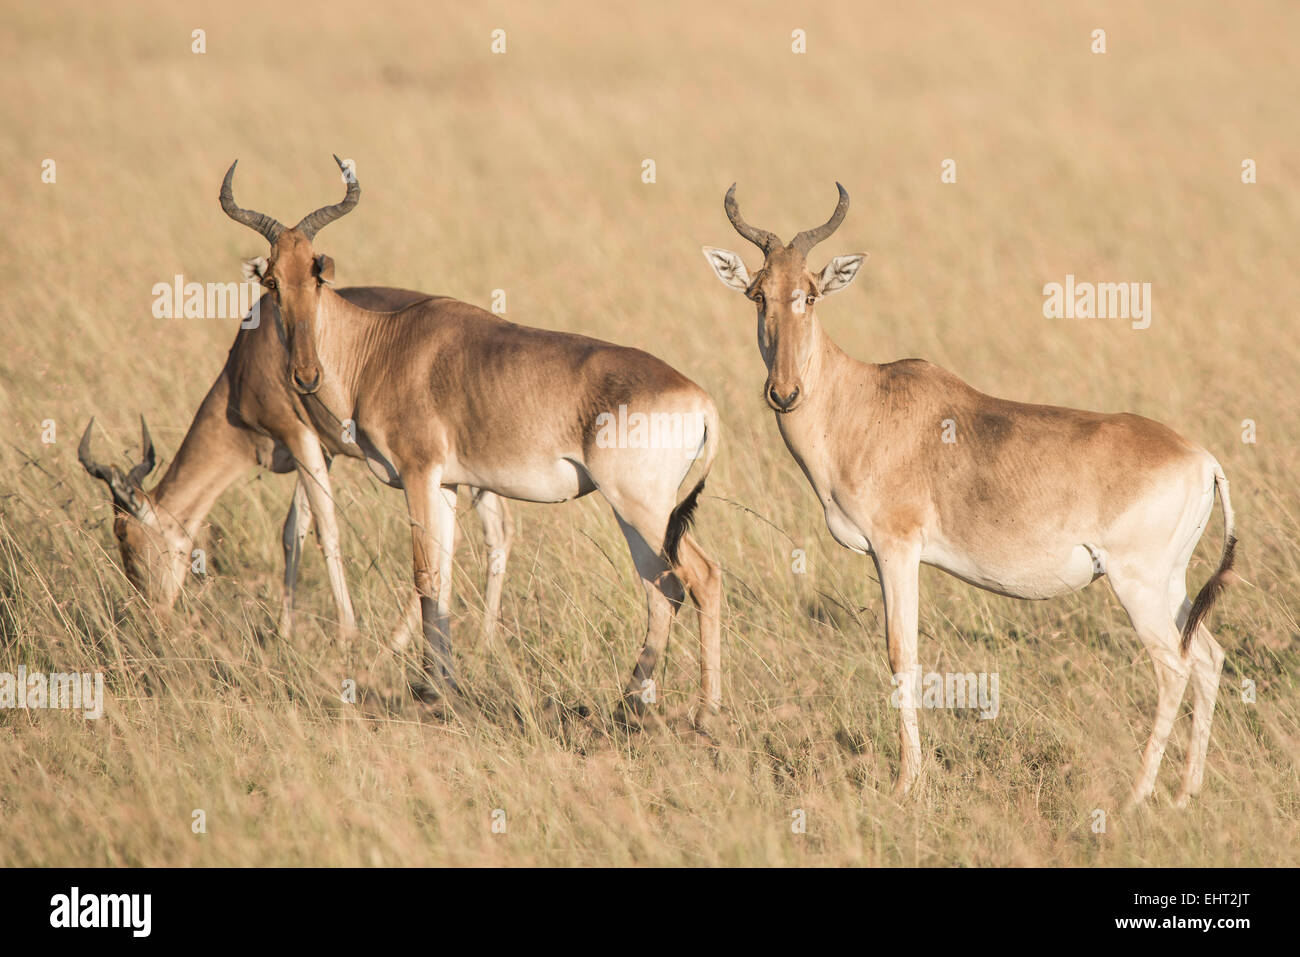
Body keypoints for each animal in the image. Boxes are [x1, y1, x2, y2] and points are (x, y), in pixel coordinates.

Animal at [81, 279, 514, 653]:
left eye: (125, 537)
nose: (150, 619)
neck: (250, 352)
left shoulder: (299, 435)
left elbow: (326, 529)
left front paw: (344, 636)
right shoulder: (321, 449)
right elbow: (294, 532)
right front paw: (283, 633)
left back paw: (397, 644)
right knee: (495, 532)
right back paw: (485, 644)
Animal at [215, 156, 723, 723]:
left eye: (316, 275)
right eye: (273, 280)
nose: (304, 376)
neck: (382, 345)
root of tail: (700, 398)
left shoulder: (419, 472)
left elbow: (424, 575)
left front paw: (431, 690)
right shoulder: (447, 484)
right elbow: (443, 574)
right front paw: (444, 685)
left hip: (642, 506)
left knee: (699, 578)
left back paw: (704, 713)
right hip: (640, 512)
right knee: (662, 589)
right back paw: (628, 703)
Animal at [703, 184, 1236, 807]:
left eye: (809, 294)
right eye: (757, 294)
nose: (784, 393)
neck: (863, 399)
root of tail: (1202, 460)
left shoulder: (897, 549)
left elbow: (901, 653)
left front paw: (906, 782)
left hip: (1138, 582)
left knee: (1173, 667)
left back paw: (1135, 797)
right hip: (1172, 582)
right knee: (1207, 658)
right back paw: (1185, 794)